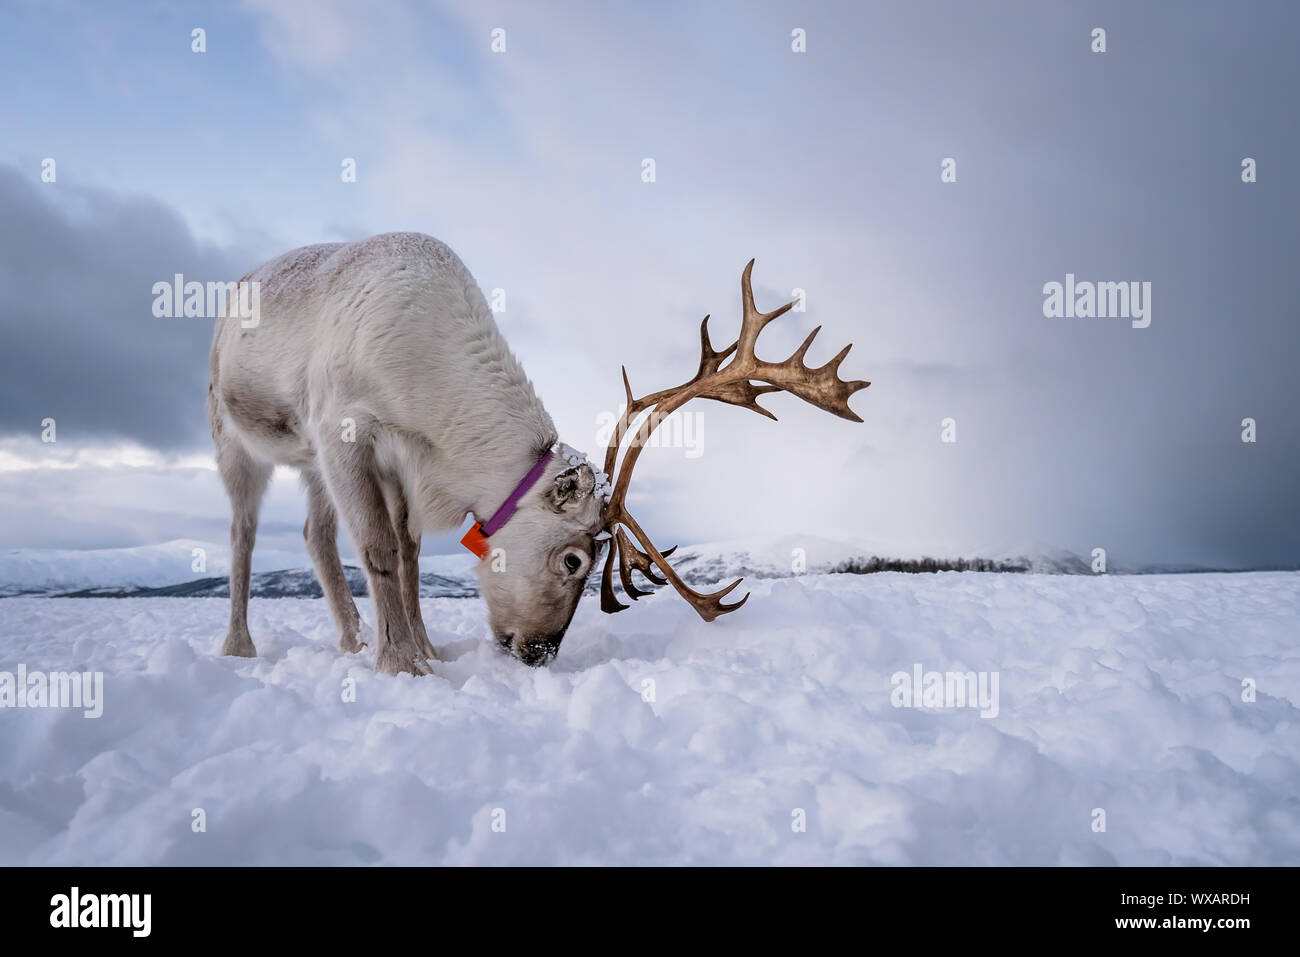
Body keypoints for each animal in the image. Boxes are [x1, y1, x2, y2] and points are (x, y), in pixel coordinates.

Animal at [208, 232, 869, 675]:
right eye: (574, 561)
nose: (540, 653)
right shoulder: (343, 430)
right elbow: (379, 552)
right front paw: (402, 665)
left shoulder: (403, 465)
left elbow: (411, 557)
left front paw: (426, 650)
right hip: (233, 435)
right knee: (243, 534)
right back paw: (239, 646)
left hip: (308, 463)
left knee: (314, 535)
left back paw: (351, 641)